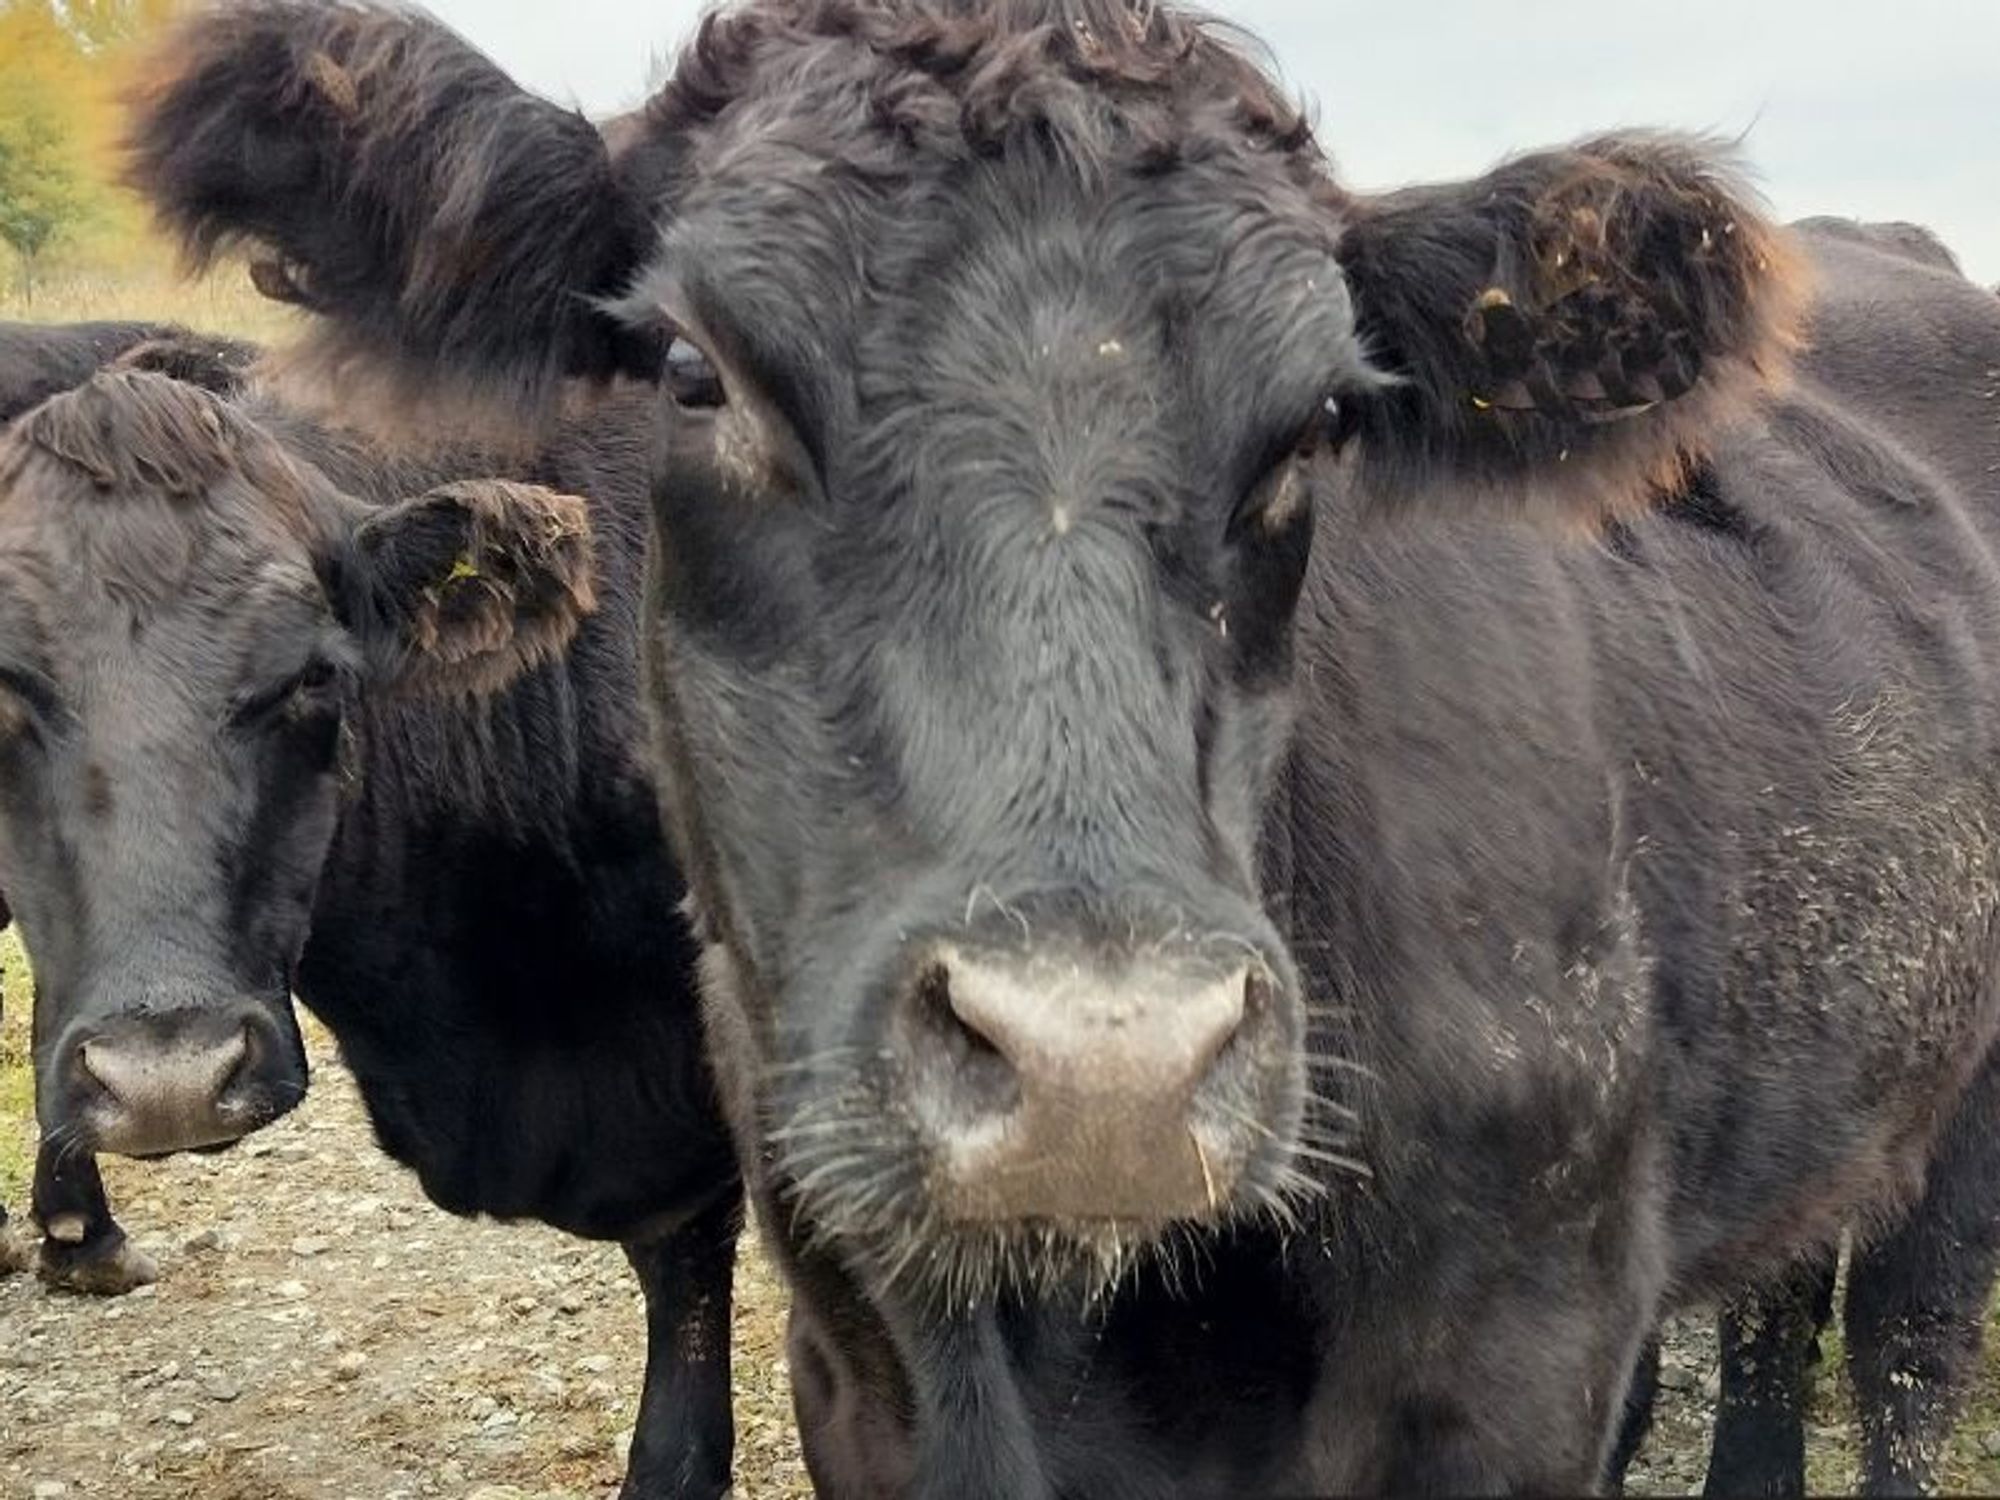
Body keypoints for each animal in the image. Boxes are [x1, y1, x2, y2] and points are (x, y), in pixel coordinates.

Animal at [123, 0, 2000, 1494]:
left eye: (1324, 420)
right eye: (689, 370)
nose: (1107, 1071)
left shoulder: (1519, 1361)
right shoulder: (859, 1361)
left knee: (1904, 1357)